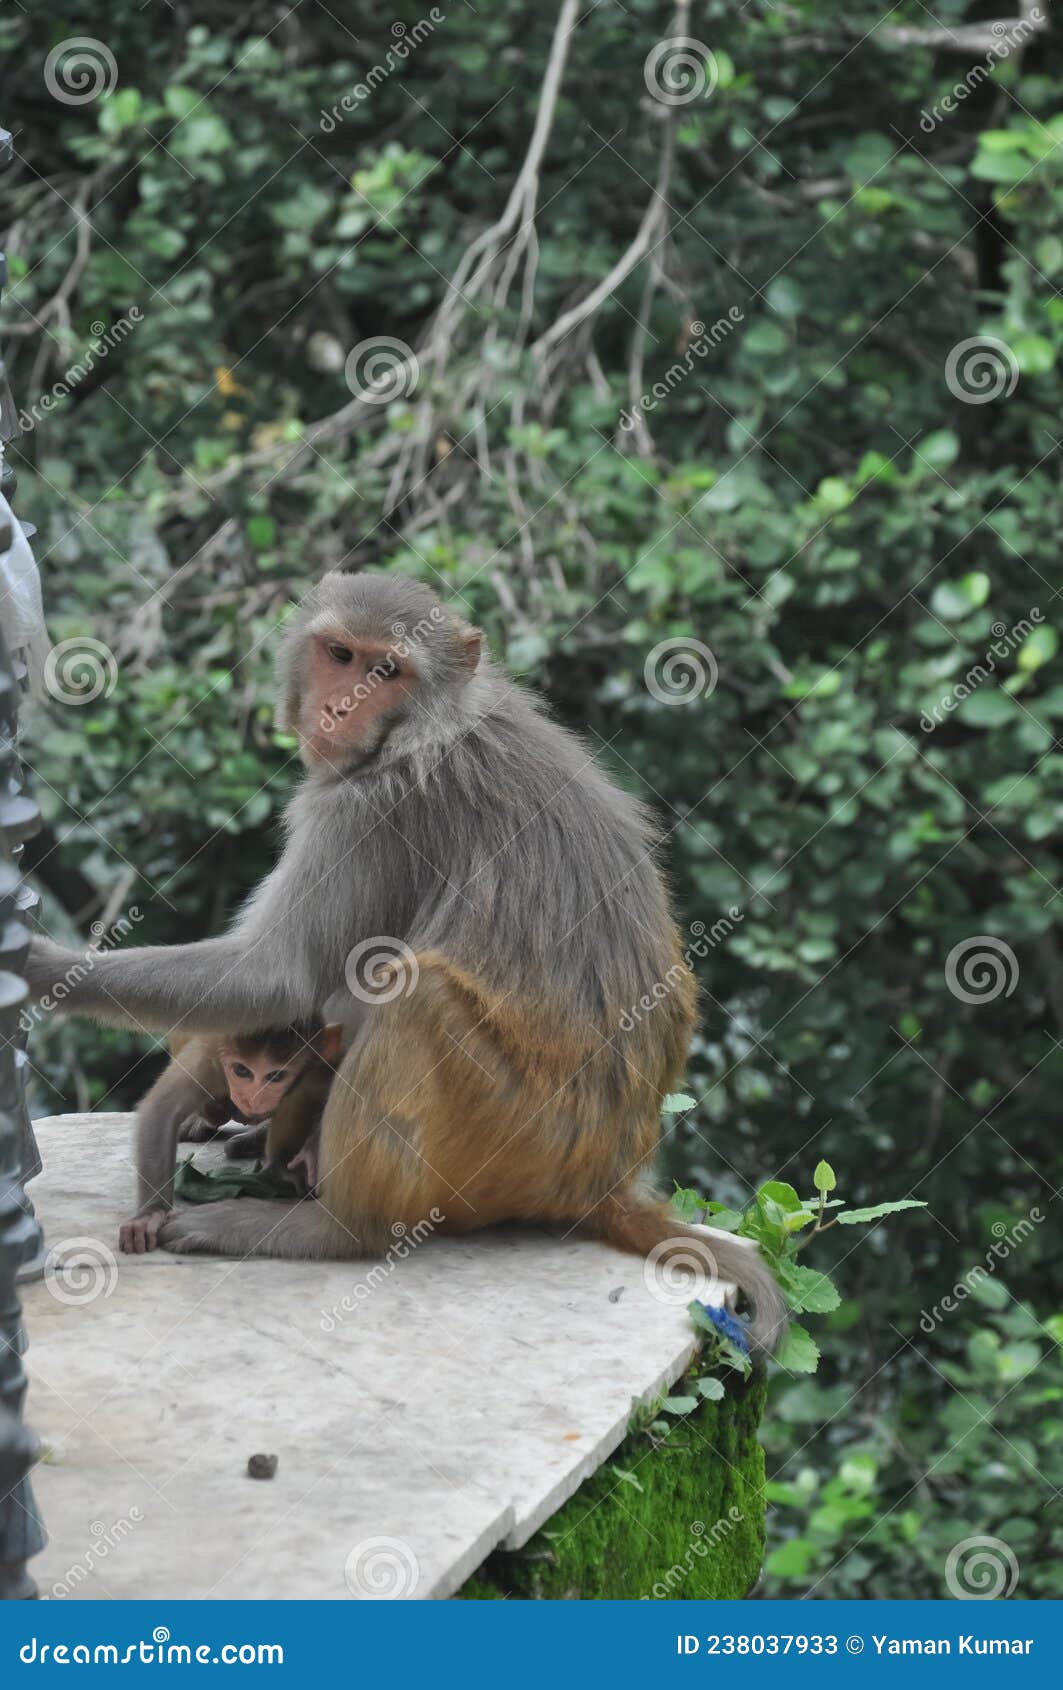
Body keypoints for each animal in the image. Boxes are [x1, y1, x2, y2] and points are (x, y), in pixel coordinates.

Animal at [119, 1022, 342, 1254]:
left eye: (275, 1076)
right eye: (242, 1071)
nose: (253, 1099)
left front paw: (309, 1153)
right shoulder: (208, 1058)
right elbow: (163, 1108)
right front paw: (151, 1213)